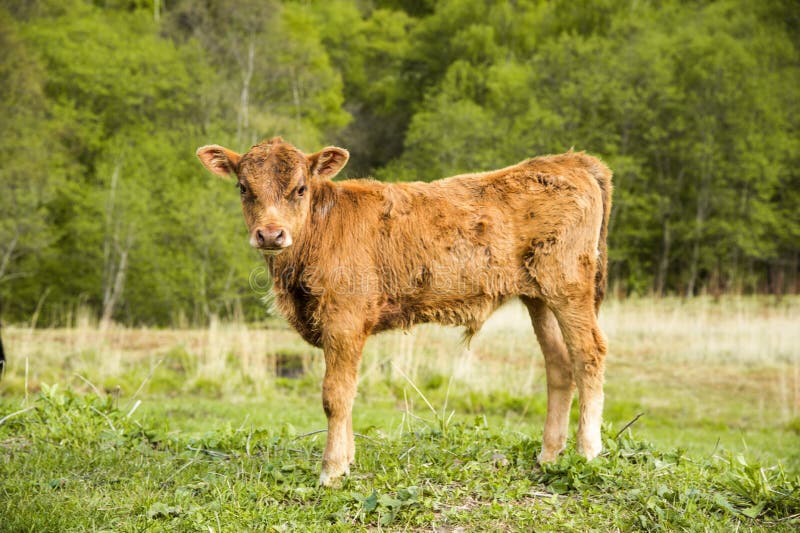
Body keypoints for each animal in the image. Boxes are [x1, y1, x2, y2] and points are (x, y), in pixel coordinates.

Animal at [197, 137, 612, 486]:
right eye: (243, 188)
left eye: (300, 188)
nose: (270, 234)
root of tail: (568, 160)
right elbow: (348, 392)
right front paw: (347, 462)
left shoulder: (343, 320)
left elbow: (336, 394)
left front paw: (331, 472)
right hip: (538, 296)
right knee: (559, 364)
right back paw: (549, 456)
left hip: (567, 285)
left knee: (588, 354)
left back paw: (587, 452)